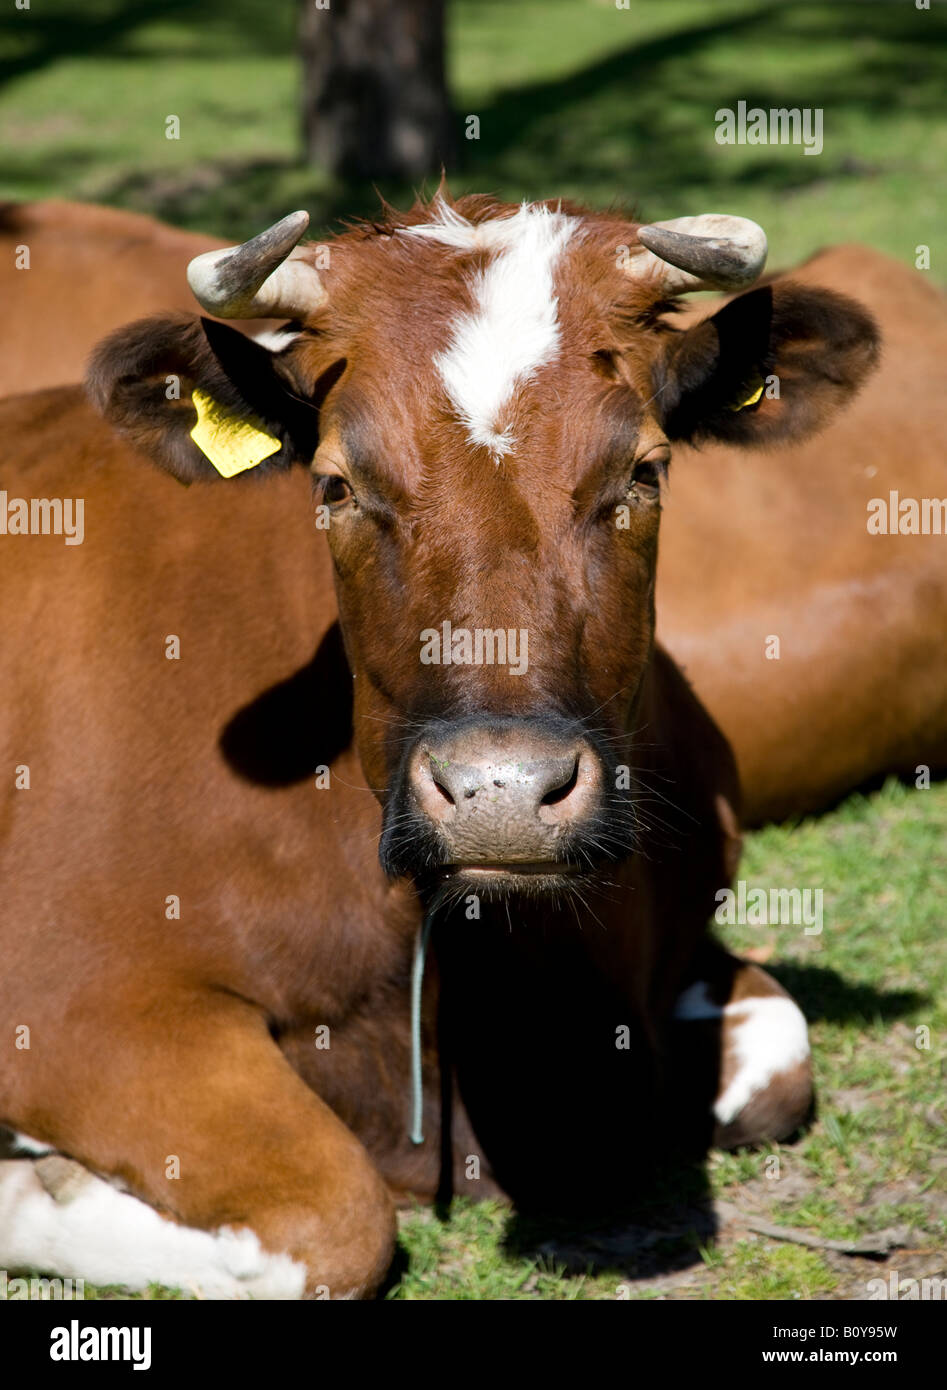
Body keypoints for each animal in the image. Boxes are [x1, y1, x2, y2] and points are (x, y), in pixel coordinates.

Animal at [0, 196, 879, 1296]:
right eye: (336, 485)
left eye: (643, 469)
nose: (501, 791)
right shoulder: (78, 996)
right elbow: (333, 1222)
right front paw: (27, 1181)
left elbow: (779, 1057)